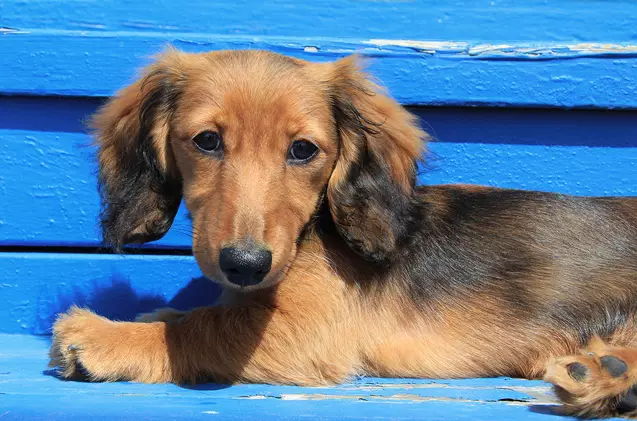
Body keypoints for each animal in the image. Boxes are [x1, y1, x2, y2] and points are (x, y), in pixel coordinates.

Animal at [49, 49, 636, 416]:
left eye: (303, 150)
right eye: (207, 141)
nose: (245, 265)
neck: (311, 232)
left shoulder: (304, 333)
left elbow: (203, 326)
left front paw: (101, 336)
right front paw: (155, 314)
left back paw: (607, 376)